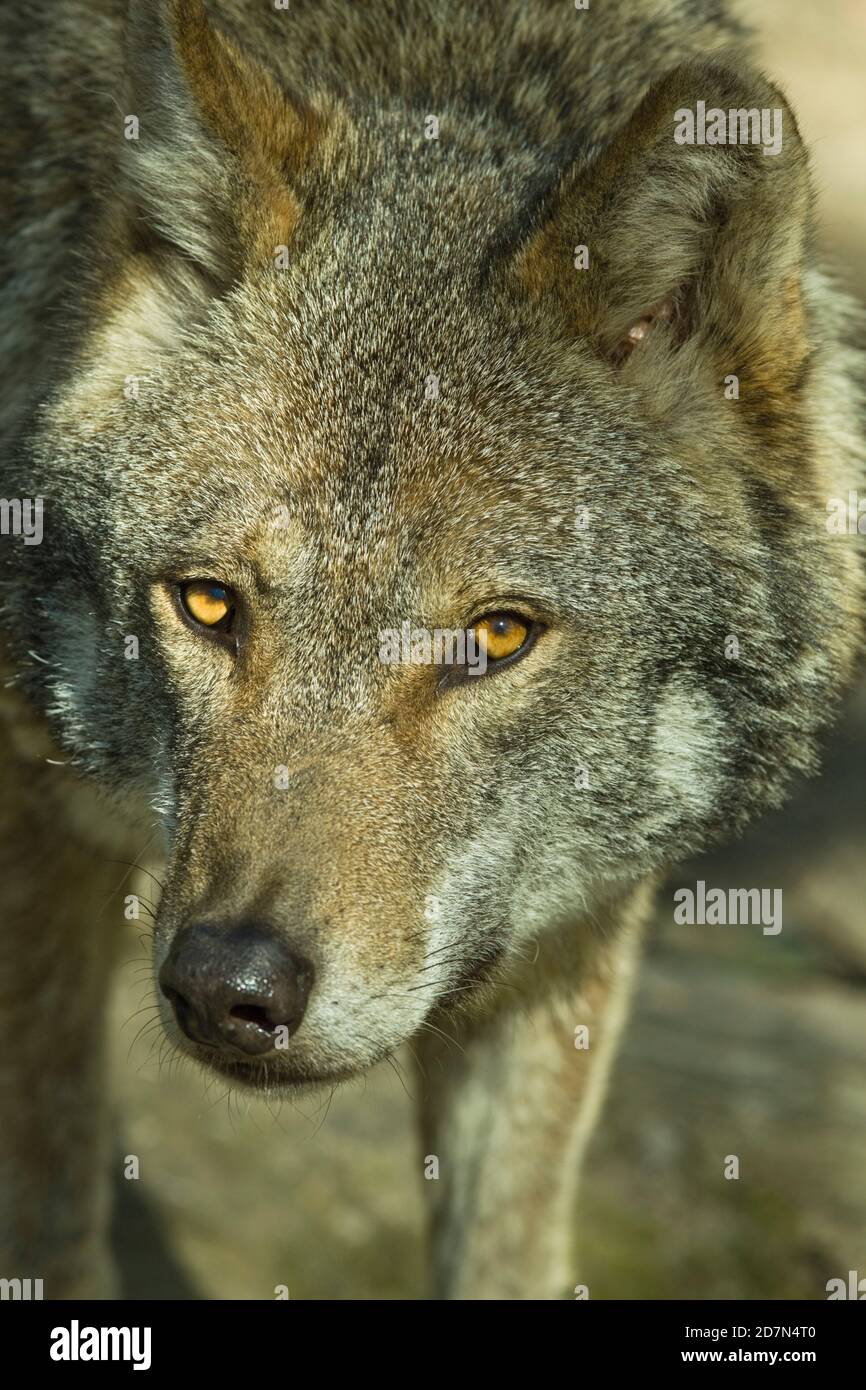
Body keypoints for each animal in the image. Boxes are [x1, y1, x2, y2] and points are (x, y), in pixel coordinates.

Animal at [0, 0, 863, 1301]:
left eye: (496, 635)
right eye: (207, 605)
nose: (226, 986)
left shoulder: (571, 928)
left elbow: (505, 1248)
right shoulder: (35, 827)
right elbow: (51, 1221)